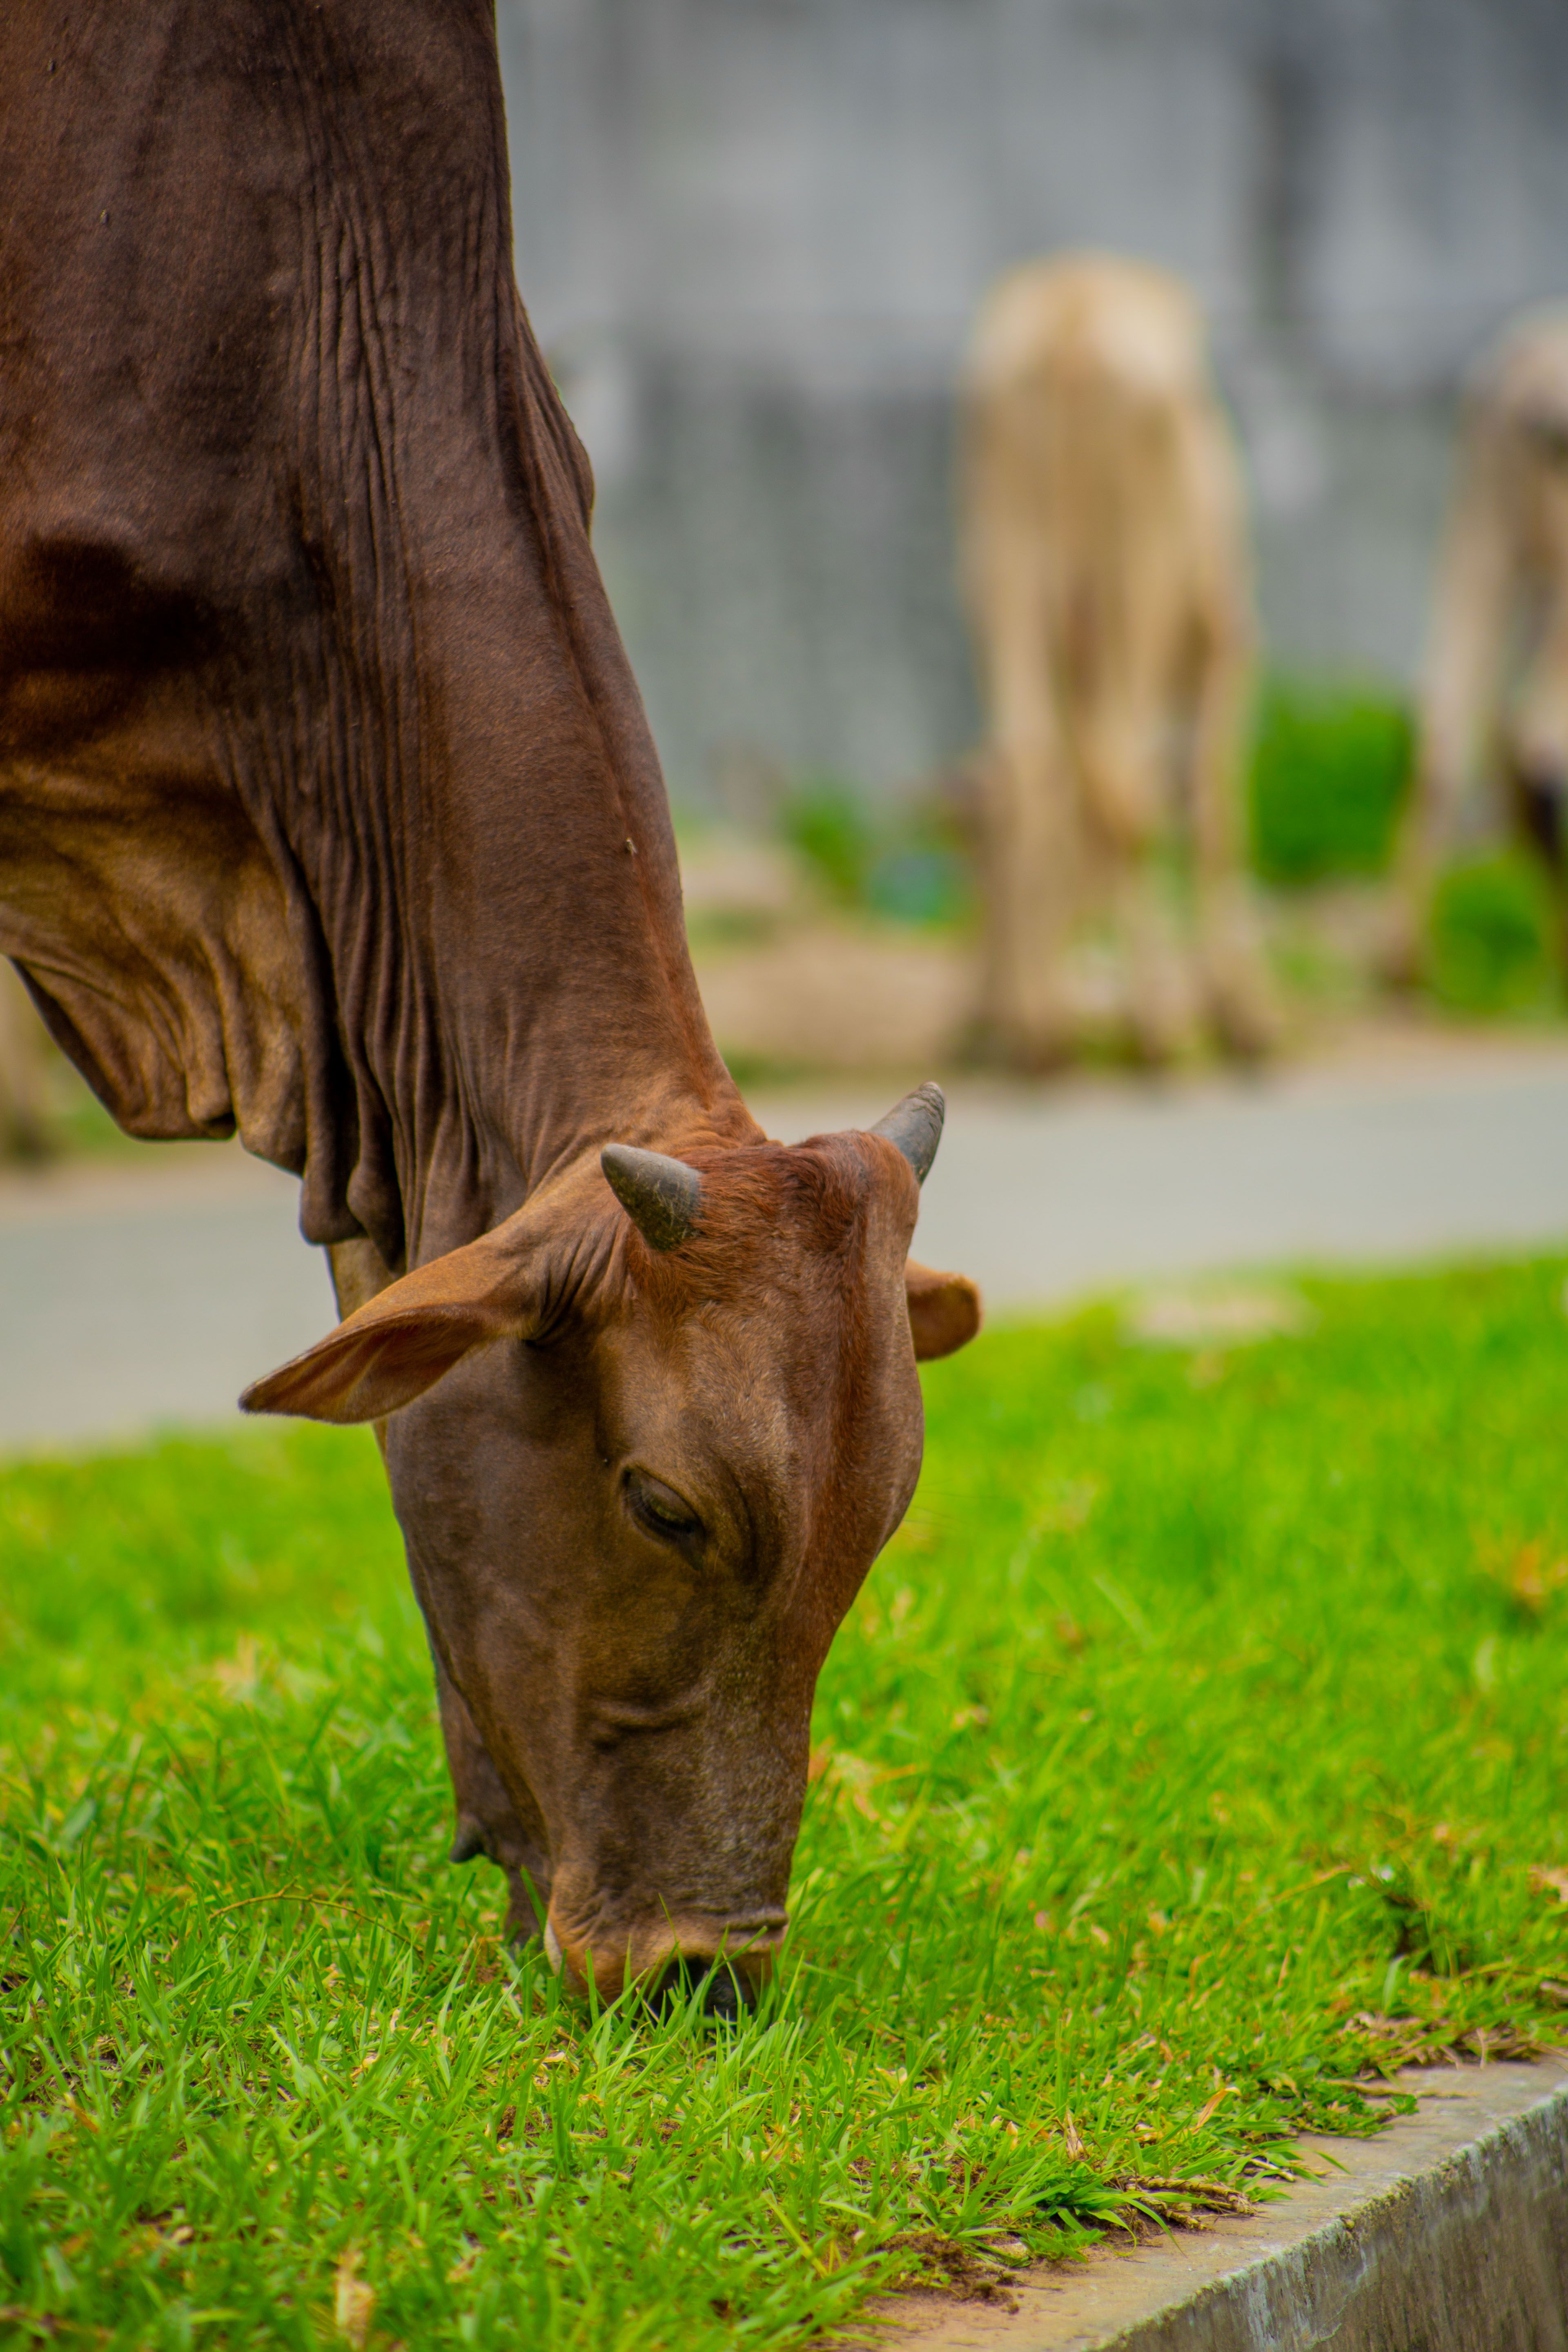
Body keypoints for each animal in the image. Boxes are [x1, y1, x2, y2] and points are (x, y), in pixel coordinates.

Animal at [960, 254, 1277, 1067]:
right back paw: (1158, 1031)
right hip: (1143, 581)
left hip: (1005, 570)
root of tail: (1070, 316)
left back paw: (1045, 1038)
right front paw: (1239, 1014)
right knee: (1127, 788)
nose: (974, 1019)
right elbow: (1213, 805)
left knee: (1035, 769)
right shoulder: (1228, 640)